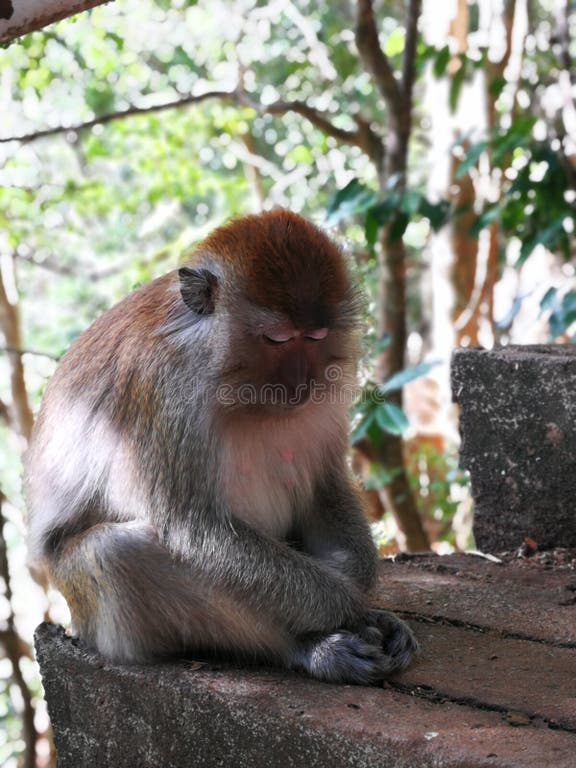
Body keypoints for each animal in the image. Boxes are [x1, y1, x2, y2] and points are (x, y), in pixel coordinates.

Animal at [25, 209, 418, 685]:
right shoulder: (165, 391)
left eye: (316, 336)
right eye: (277, 339)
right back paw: (309, 648)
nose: (300, 382)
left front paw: (359, 581)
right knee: (117, 552)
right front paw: (348, 606)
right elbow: (196, 529)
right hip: (92, 612)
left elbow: (326, 483)